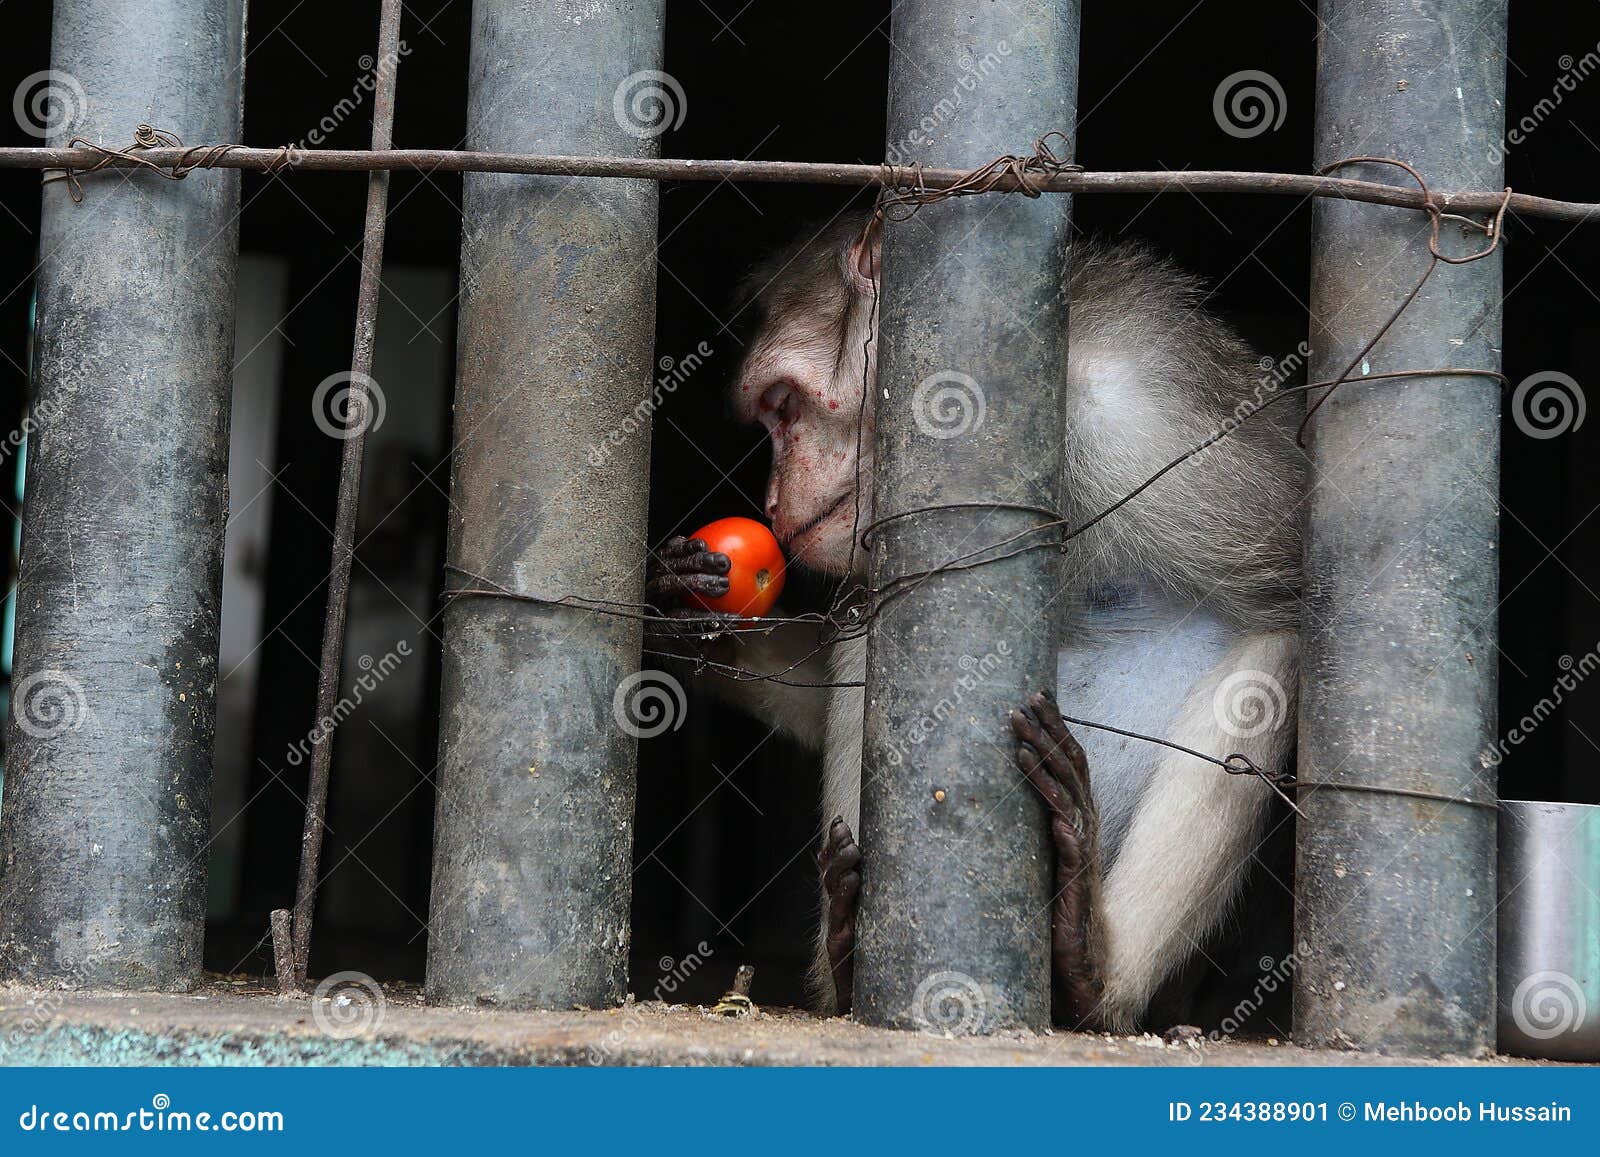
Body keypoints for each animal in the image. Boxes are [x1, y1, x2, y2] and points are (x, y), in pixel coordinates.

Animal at [648, 215, 1304, 1032]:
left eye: (784, 405)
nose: (770, 497)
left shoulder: (1146, 423)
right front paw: (676, 618)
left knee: (1270, 662)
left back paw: (1094, 965)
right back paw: (850, 952)